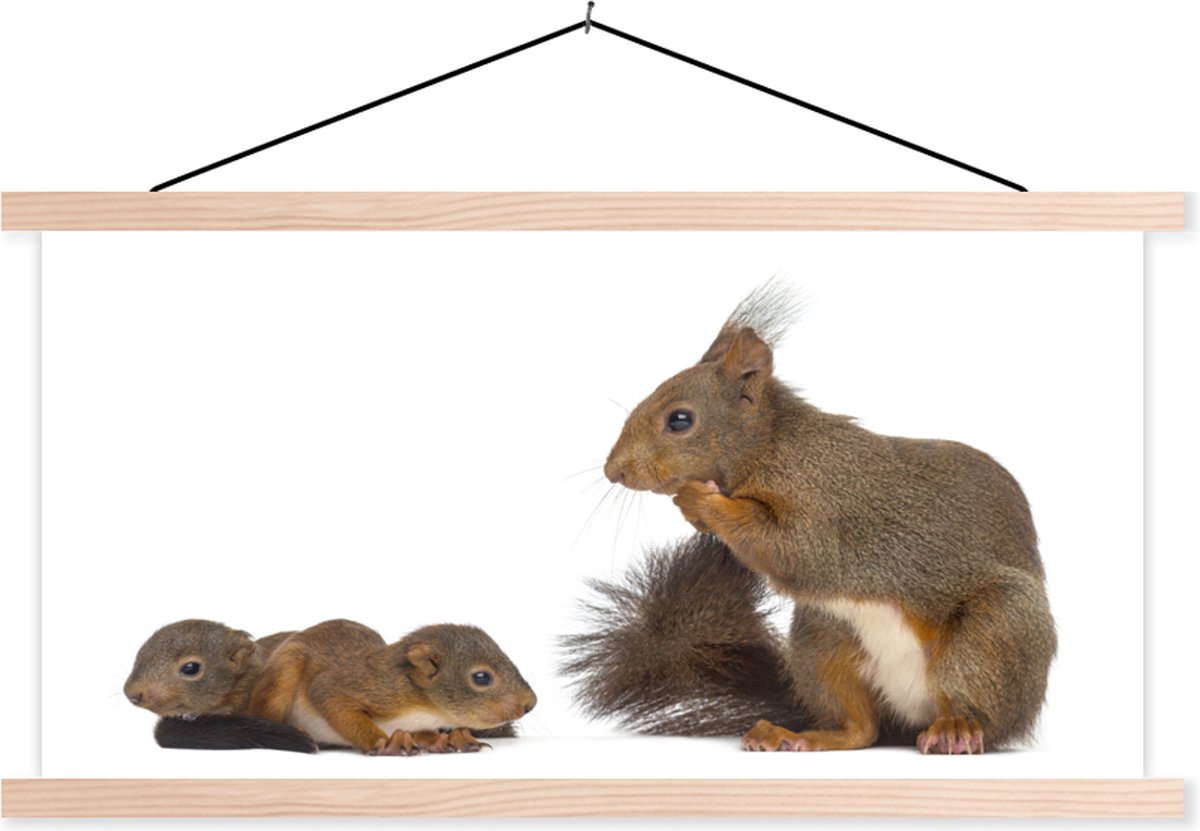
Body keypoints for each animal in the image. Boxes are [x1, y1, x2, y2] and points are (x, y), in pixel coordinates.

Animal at [246, 618, 537, 755]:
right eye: (481, 677)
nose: (530, 704)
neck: (422, 707)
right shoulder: (359, 686)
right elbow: (333, 700)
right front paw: (385, 744)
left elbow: (425, 734)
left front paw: (448, 740)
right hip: (285, 673)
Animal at [571, 280, 1056, 754]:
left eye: (679, 420)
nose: (614, 471)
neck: (773, 446)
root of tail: (912, 717)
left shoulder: (824, 508)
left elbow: (793, 550)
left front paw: (700, 499)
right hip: (822, 639)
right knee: (861, 729)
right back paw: (798, 735)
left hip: (995, 630)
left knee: (981, 712)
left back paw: (958, 728)